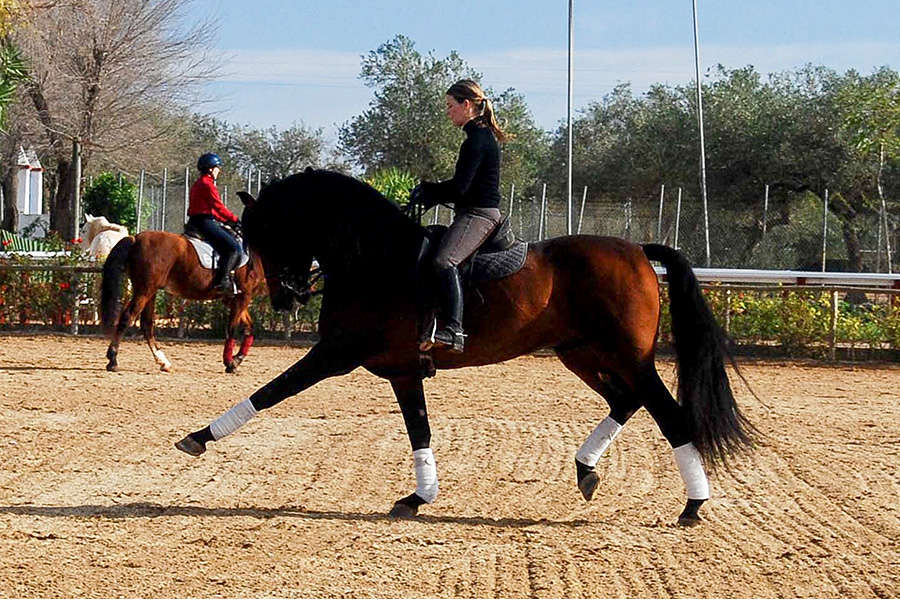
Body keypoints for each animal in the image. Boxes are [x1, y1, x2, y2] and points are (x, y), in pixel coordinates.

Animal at [100, 227, 265, 373]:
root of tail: (135, 239)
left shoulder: (234, 299)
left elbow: (249, 328)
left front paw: (237, 360)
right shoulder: (243, 296)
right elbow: (231, 329)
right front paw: (230, 362)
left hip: (150, 292)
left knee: (146, 324)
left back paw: (163, 362)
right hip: (144, 291)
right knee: (128, 317)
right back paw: (113, 360)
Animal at [175, 169, 755, 525]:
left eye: (272, 234)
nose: (284, 297)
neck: (374, 260)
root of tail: (636, 250)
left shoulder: (335, 354)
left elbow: (273, 391)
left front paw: (198, 437)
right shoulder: (402, 370)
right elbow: (419, 430)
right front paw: (419, 496)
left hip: (626, 357)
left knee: (669, 415)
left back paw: (693, 505)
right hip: (582, 354)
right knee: (626, 401)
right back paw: (586, 470)